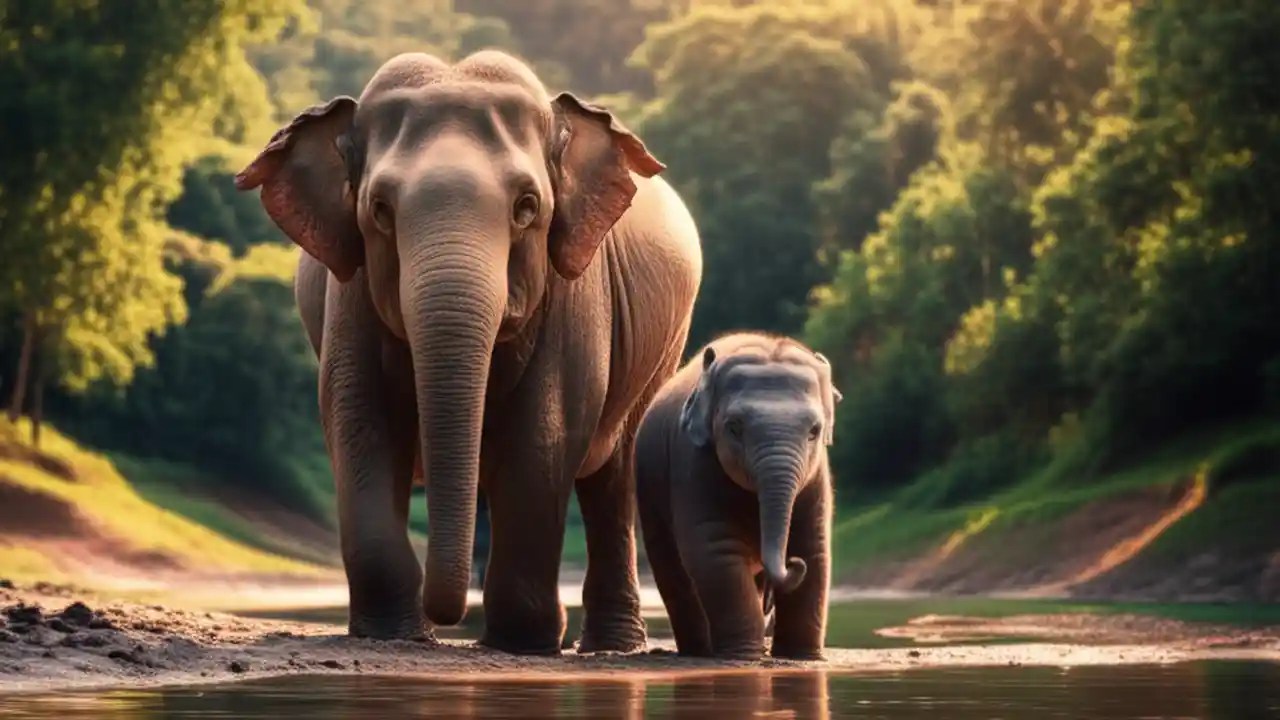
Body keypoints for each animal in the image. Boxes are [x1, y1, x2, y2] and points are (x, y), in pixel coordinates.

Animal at [235, 50, 702, 654]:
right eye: (379, 210)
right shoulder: (349, 292)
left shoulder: (577, 291)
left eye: (527, 207)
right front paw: (393, 634)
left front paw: (523, 640)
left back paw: (610, 646)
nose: (450, 619)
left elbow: (545, 430)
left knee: (614, 472)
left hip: (661, 352)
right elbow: (358, 418)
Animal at [635, 332, 840, 660]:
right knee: (672, 568)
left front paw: (802, 656)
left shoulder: (817, 475)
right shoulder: (693, 462)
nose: (791, 563)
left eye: (814, 431)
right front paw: (743, 655)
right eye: (734, 428)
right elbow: (716, 548)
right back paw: (701, 650)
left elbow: (812, 545)